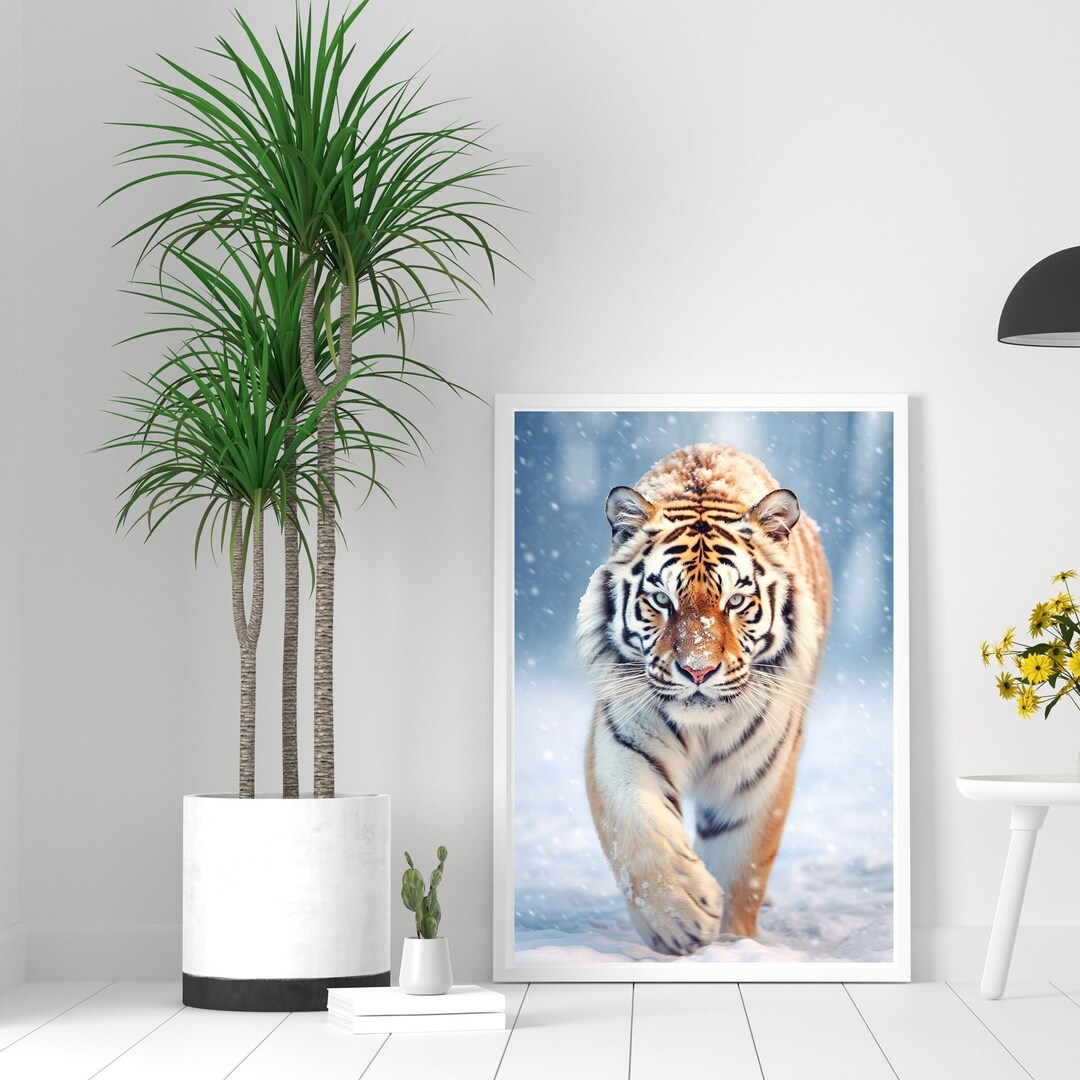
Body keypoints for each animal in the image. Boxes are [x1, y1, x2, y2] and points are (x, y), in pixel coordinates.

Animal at [576, 443, 831, 956]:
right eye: (661, 600)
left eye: (735, 602)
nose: (697, 670)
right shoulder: (622, 740)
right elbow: (636, 827)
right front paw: (681, 918)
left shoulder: (757, 774)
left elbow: (741, 867)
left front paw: (732, 945)